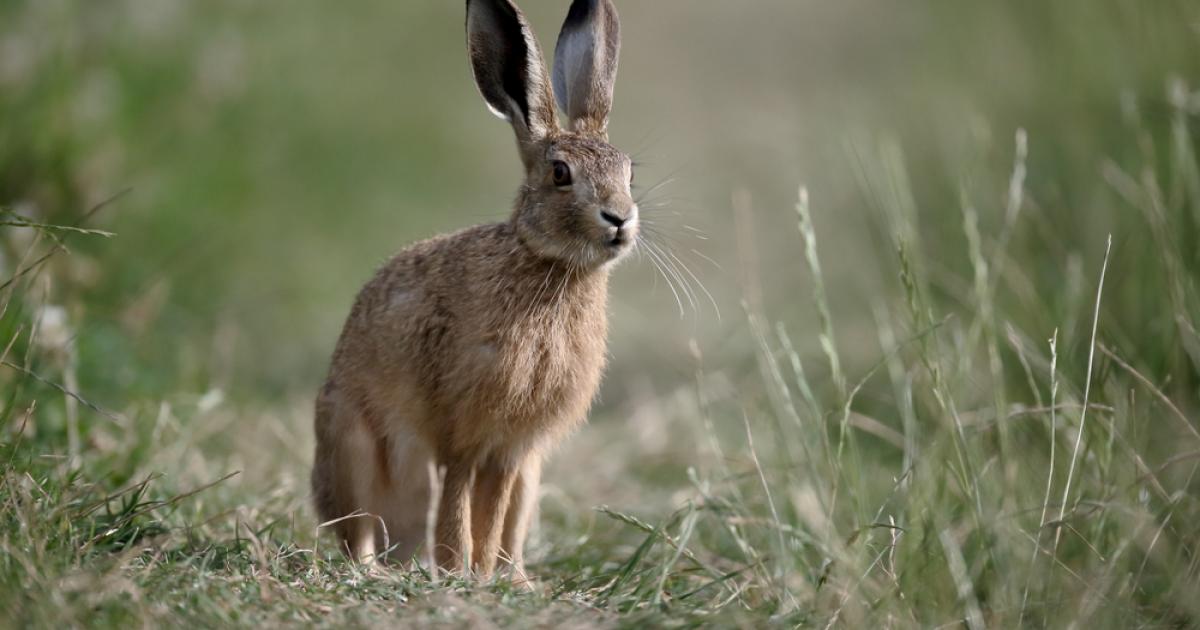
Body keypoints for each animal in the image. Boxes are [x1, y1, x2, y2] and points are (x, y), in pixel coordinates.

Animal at [311, 0, 634, 578]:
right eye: (560, 173)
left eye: (630, 173)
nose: (620, 218)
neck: (547, 264)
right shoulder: (463, 433)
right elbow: (462, 502)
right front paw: (461, 571)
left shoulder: (513, 449)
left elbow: (494, 509)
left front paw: (486, 576)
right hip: (353, 448)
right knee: (358, 527)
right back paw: (378, 569)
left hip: (529, 476)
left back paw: (513, 577)